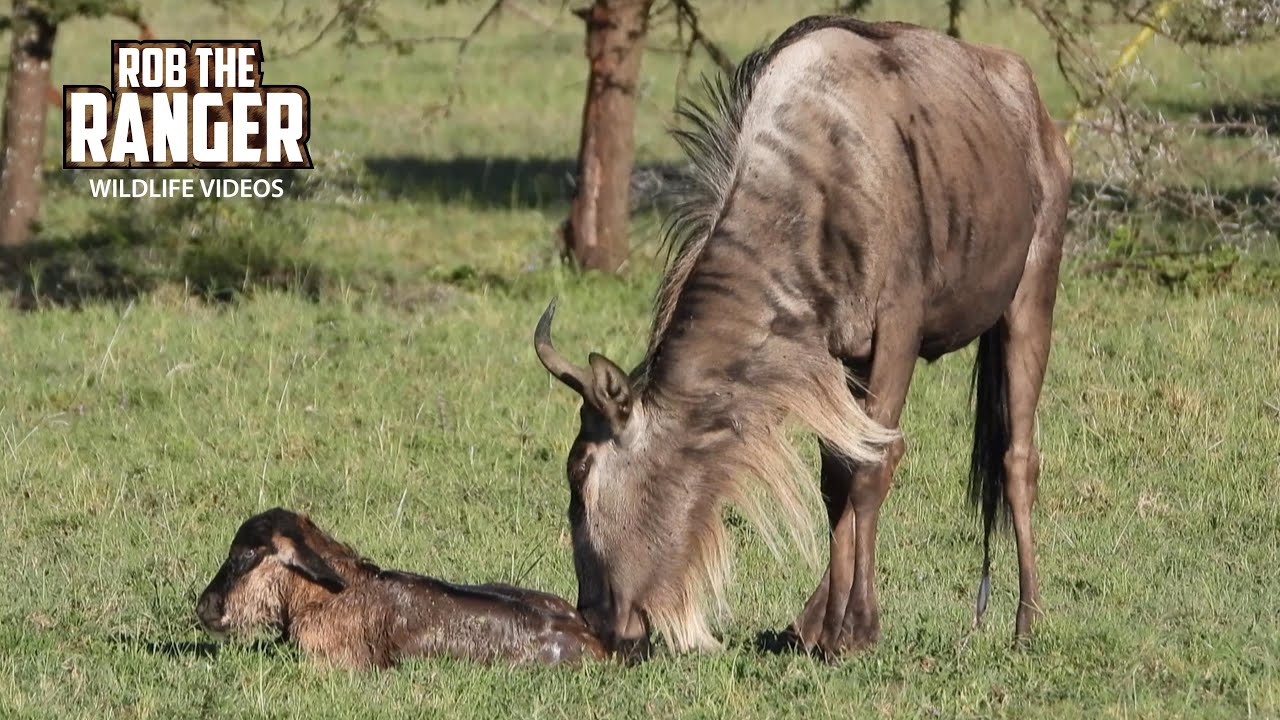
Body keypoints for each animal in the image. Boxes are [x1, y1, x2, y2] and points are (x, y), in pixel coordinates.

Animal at [534, 15, 1070, 658]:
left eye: (579, 473)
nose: (593, 617)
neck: (817, 181)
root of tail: (1037, 113)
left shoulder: (899, 327)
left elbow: (874, 465)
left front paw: (859, 626)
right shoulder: (831, 354)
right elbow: (836, 479)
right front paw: (827, 627)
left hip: (1032, 290)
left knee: (1018, 457)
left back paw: (1027, 620)